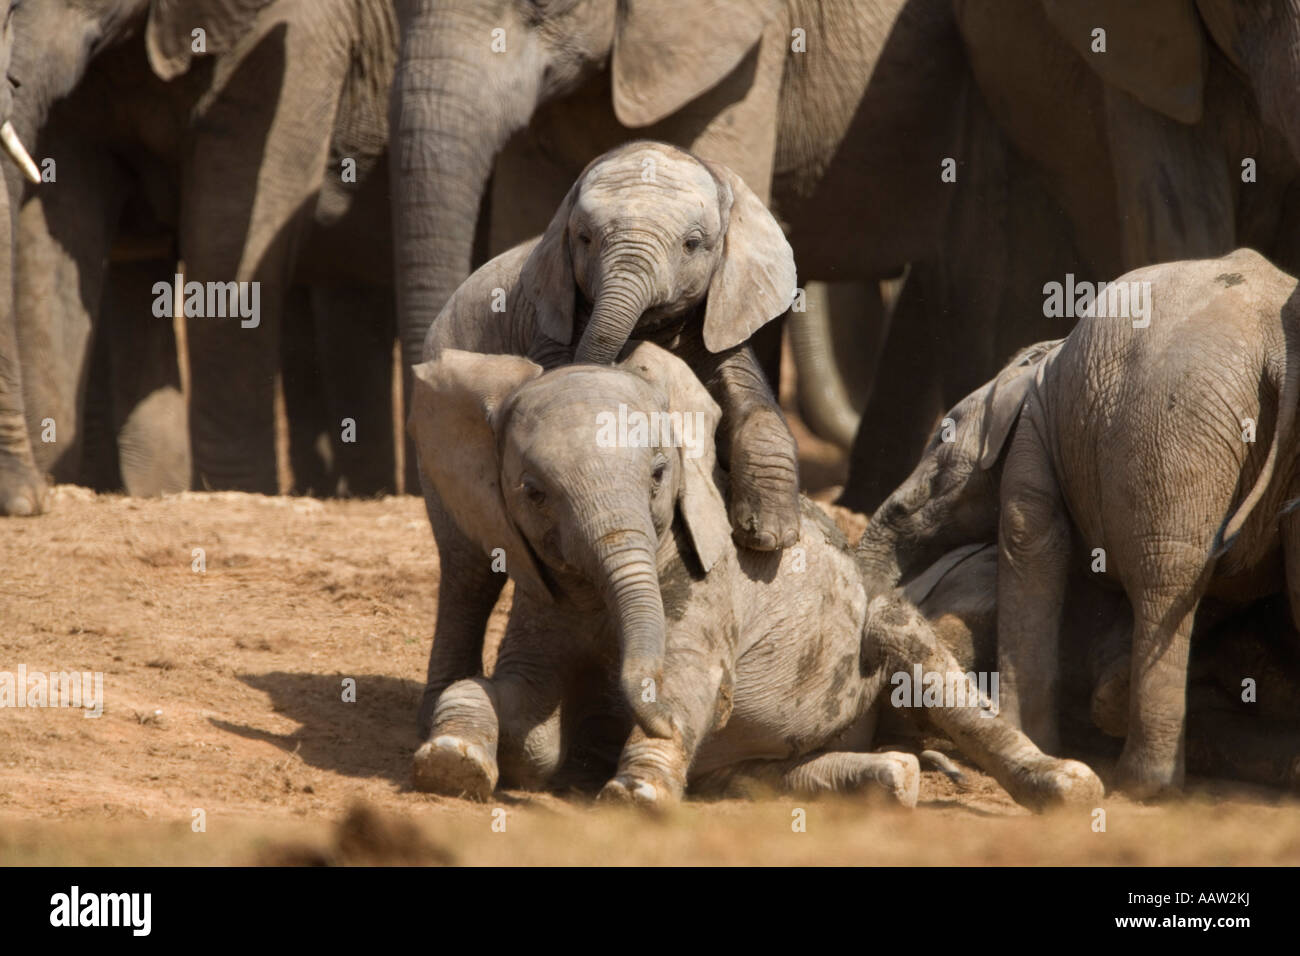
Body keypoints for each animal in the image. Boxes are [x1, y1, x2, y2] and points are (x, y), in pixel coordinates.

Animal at [406, 339, 1104, 811]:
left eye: (658, 474)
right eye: (533, 493)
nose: (728, 702)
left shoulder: (707, 587)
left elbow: (688, 679)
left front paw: (636, 795)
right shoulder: (541, 590)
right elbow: (523, 711)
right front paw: (453, 765)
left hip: (881, 623)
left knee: (932, 674)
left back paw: (1069, 787)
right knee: (760, 777)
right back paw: (888, 777)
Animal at [411, 141, 802, 738]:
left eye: (694, 244)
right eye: (584, 239)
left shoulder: (720, 308)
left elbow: (747, 394)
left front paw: (768, 535)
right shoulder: (546, 322)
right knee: (468, 571)